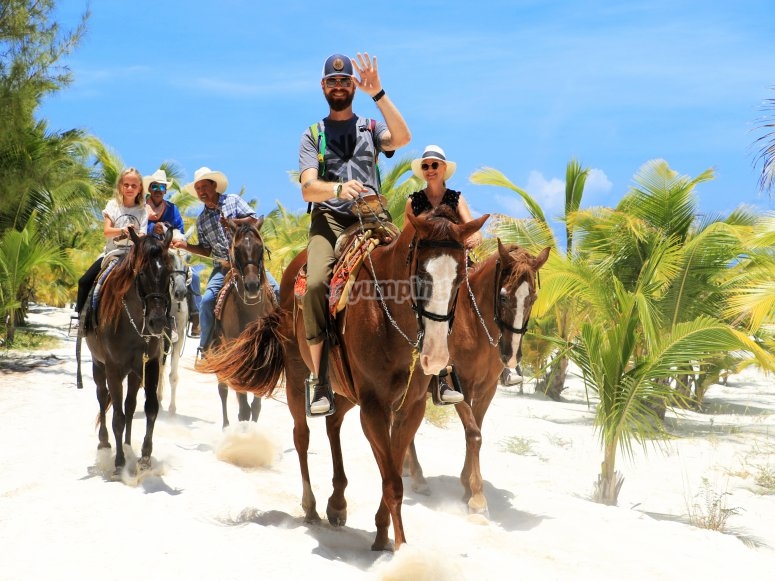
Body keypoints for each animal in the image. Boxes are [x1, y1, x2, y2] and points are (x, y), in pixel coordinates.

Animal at [77, 228, 174, 472]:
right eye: (141, 273)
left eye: (169, 273)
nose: (158, 322)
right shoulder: (113, 369)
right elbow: (117, 417)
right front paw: (119, 461)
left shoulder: (150, 364)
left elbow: (150, 408)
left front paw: (145, 456)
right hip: (99, 366)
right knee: (103, 398)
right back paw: (105, 444)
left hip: (134, 373)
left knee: (130, 405)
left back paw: (129, 445)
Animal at [202, 217, 276, 429]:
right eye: (237, 248)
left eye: (260, 247)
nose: (252, 286)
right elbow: (243, 409)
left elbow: (256, 405)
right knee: (223, 389)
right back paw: (226, 427)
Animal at [403, 240, 550, 514]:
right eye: (502, 296)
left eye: (533, 298)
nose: (511, 355)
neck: (473, 324)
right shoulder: (459, 388)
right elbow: (473, 434)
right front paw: (477, 497)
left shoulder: (487, 390)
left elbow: (477, 431)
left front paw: (466, 484)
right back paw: (417, 476)